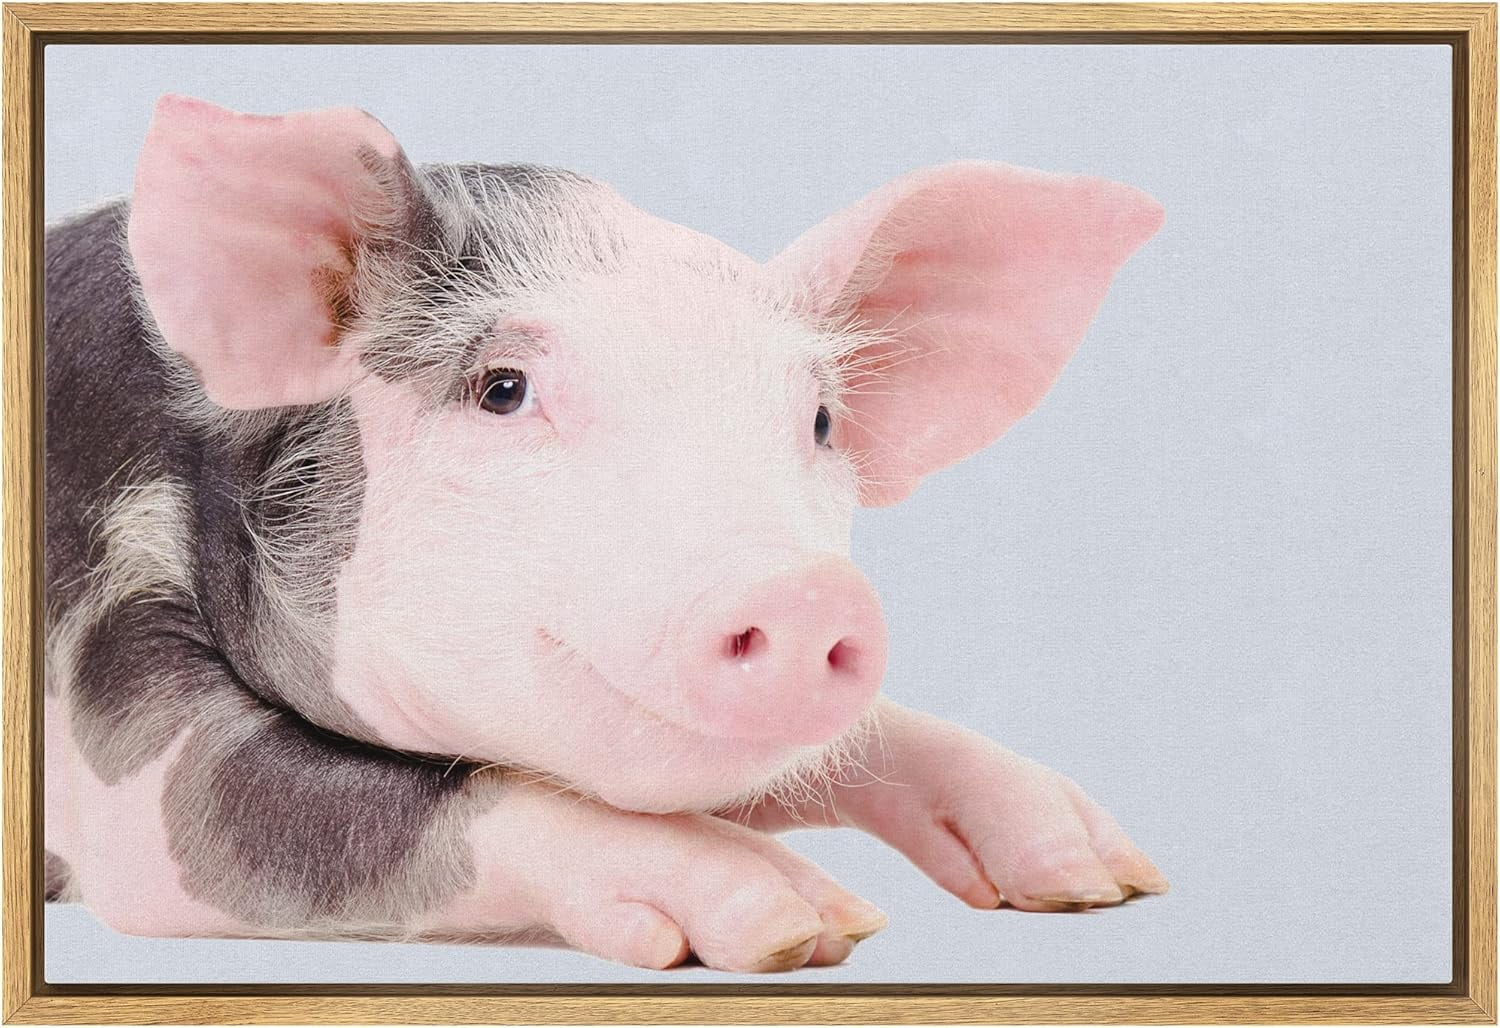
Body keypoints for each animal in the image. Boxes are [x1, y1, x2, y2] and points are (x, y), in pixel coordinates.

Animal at [43, 94, 1167, 973]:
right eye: (503, 389)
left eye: (819, 419)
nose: (803, 591)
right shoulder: (127, 739)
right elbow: (279, 815)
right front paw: (804, 922)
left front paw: (1102, 878)